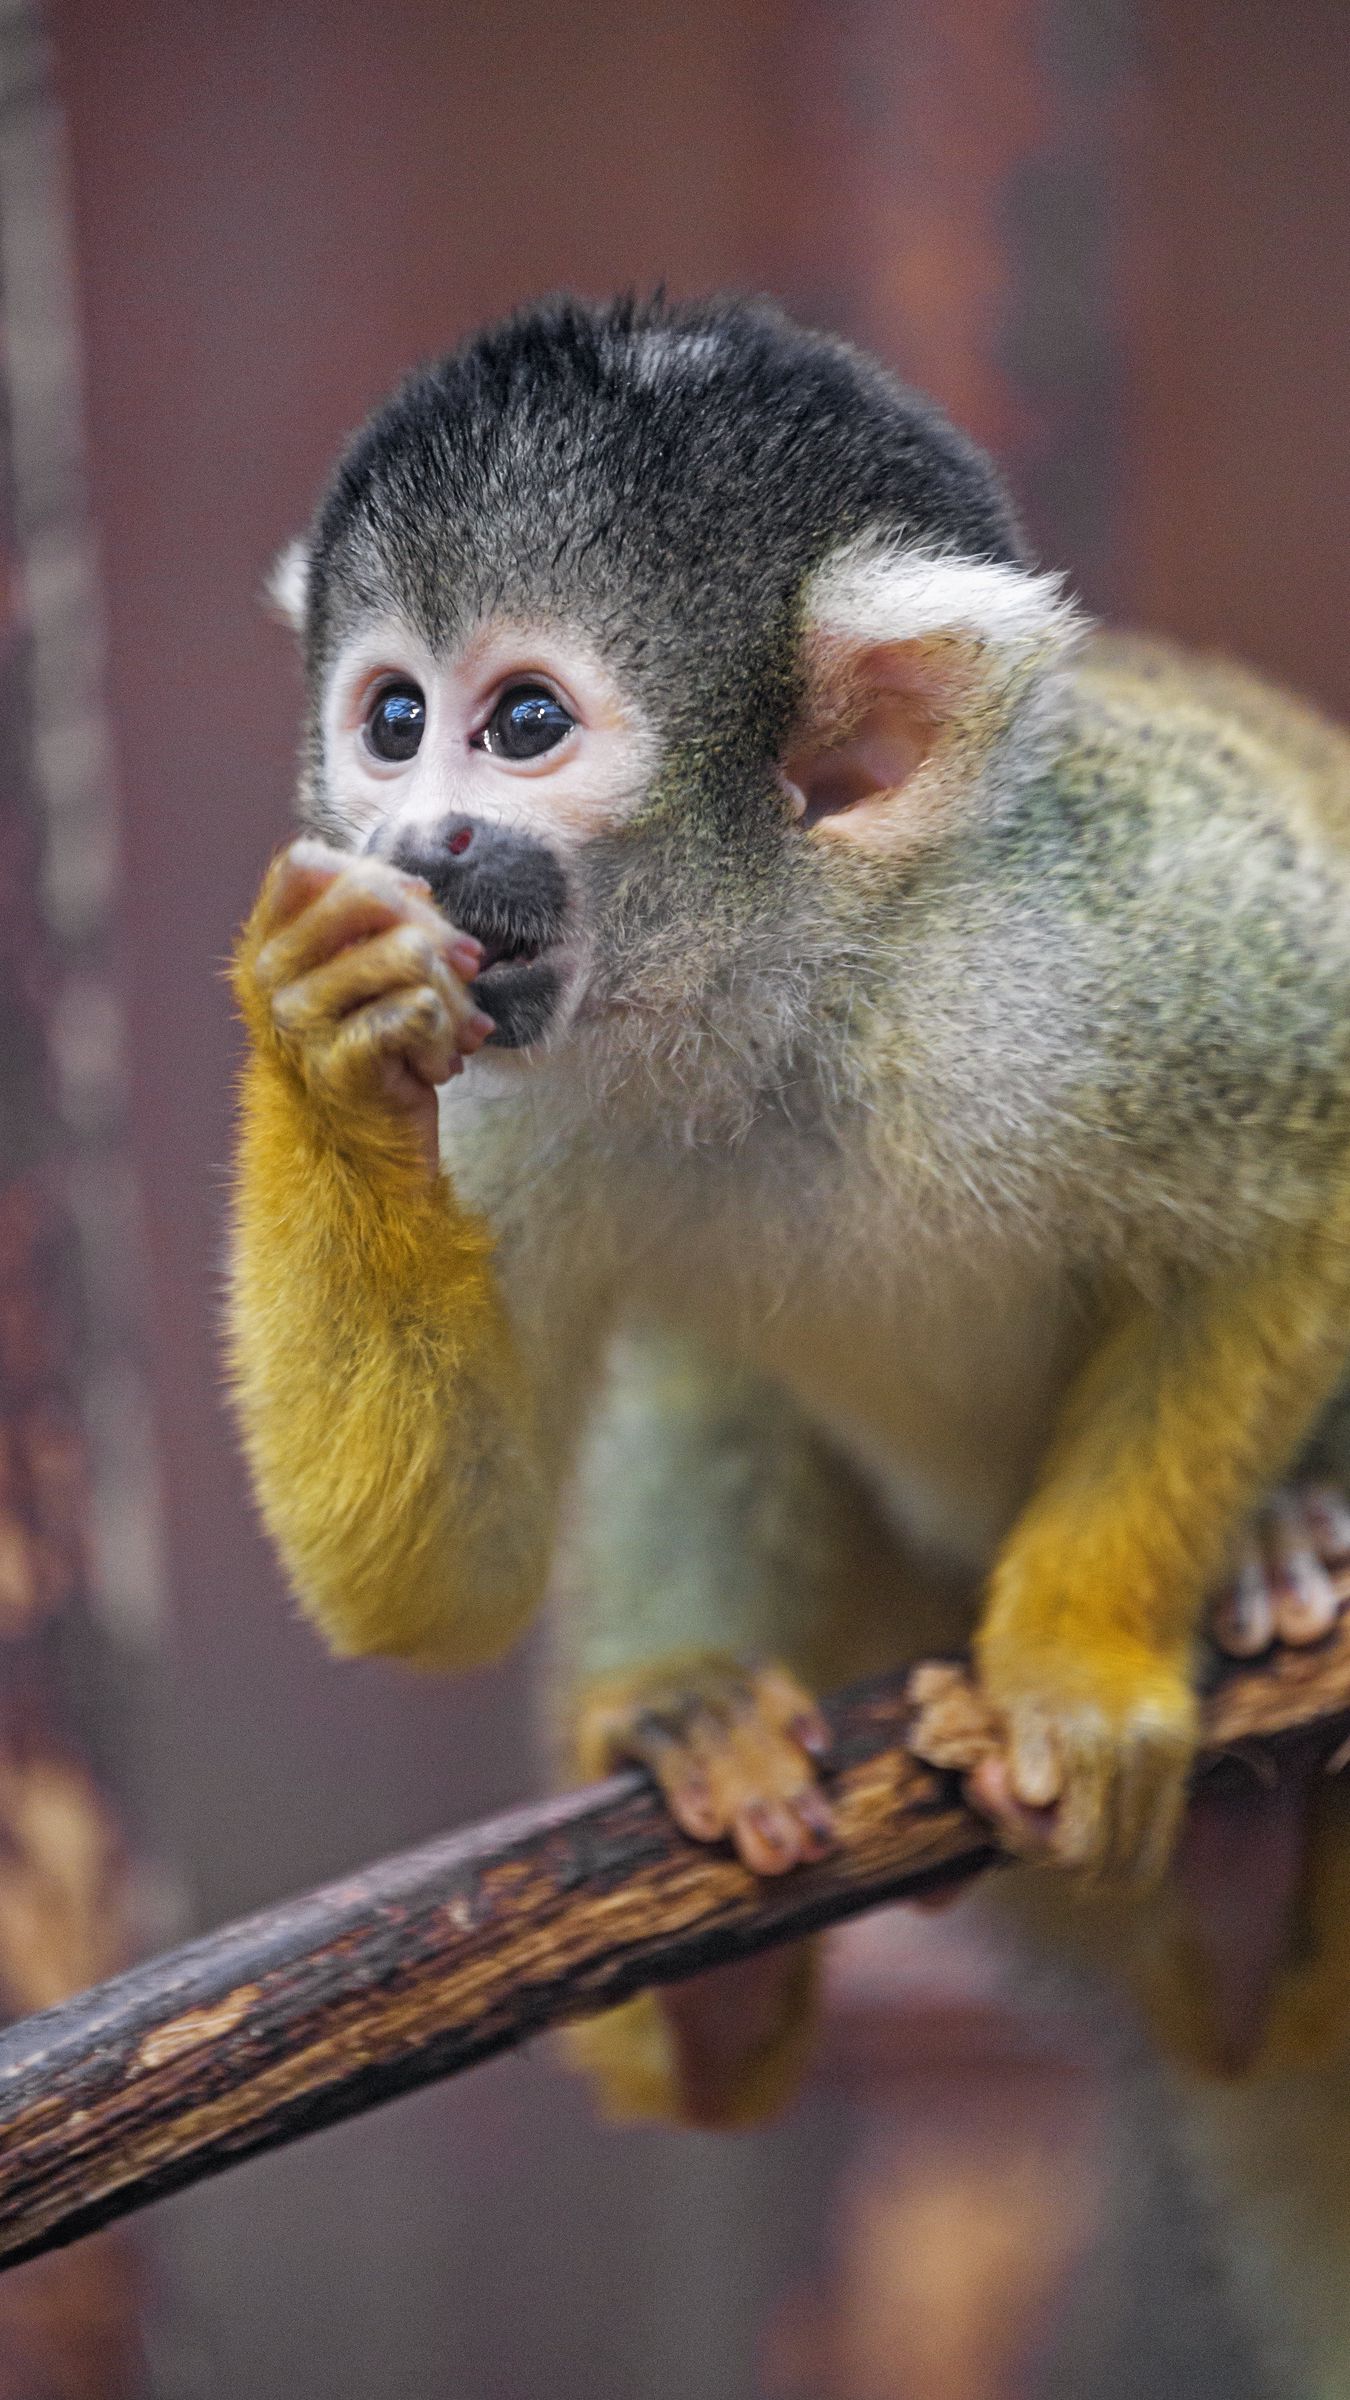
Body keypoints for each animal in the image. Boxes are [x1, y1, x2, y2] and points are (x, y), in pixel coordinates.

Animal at [228, 294, 1350, 2391]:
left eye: (522, 725)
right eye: (390, 717)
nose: (415, 835)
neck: (796, 983)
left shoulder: (1114, 941)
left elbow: (1306, 1172)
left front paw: (1078, 1662)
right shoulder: (507, 1073)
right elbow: (439, 1581)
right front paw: (318, 1028)